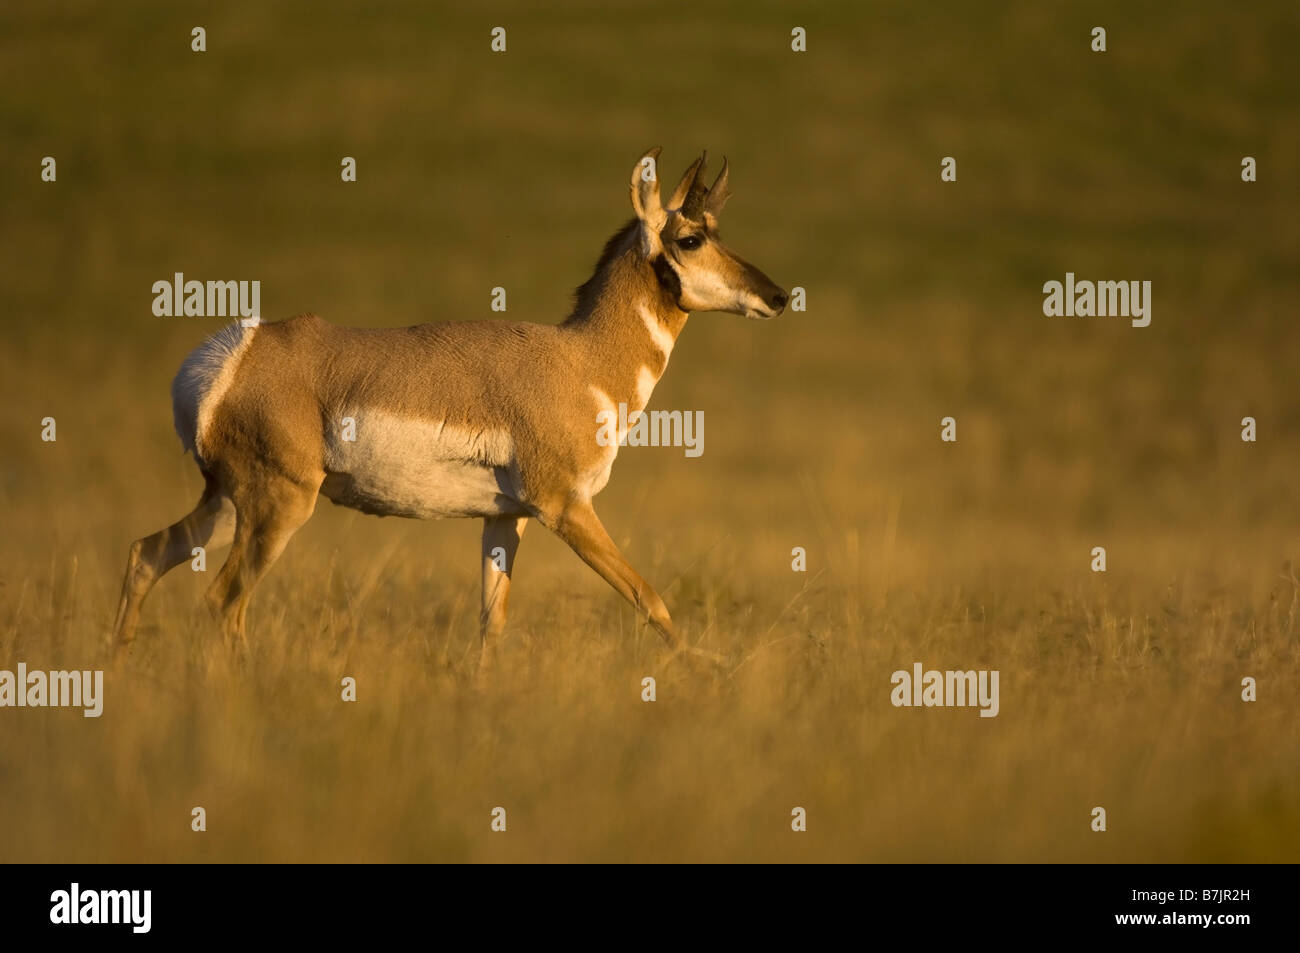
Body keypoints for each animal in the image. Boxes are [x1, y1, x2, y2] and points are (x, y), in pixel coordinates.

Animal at [112, 149, 788, 667]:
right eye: (690, 238)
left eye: (719, 232)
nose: (779, 296)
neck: (581, 361)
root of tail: (230, 354)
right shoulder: (566, 509)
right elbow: (651, 599)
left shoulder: (505, 519)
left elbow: (492, 624)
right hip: (277, 506)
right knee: (222, 603)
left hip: (228, 502)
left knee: (147, 554)